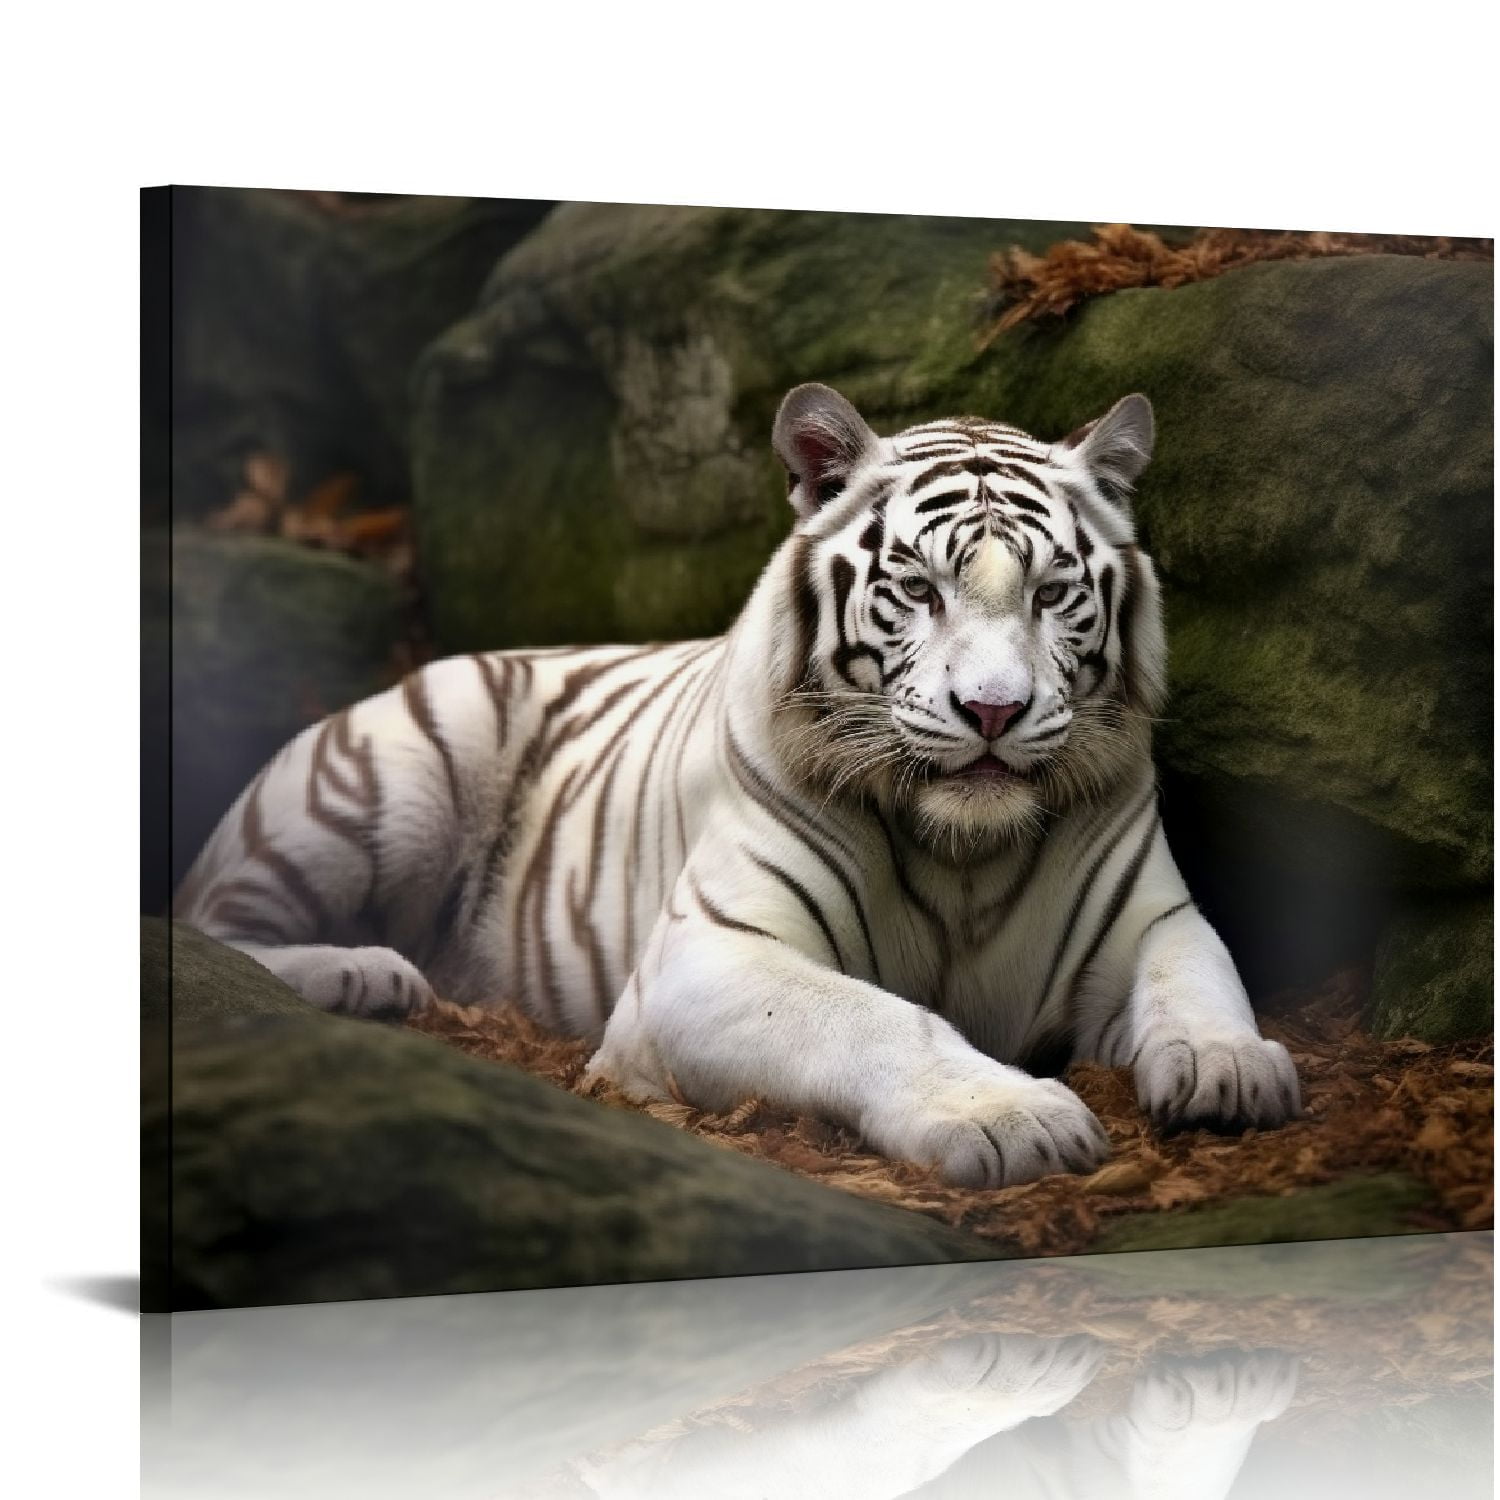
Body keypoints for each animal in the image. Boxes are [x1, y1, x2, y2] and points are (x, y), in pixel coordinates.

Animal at [175, 381, 1301, 1187]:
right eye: (917, 589)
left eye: (1053, 592)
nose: (992, 711)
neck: (964, 854)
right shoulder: (707, 958)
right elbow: (881, 1017)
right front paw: (1013, 1115)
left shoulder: (1151, 919)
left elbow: (1197, 979)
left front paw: (1233, 1068)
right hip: (391, 777)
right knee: (206, 928)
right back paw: (364, 974)